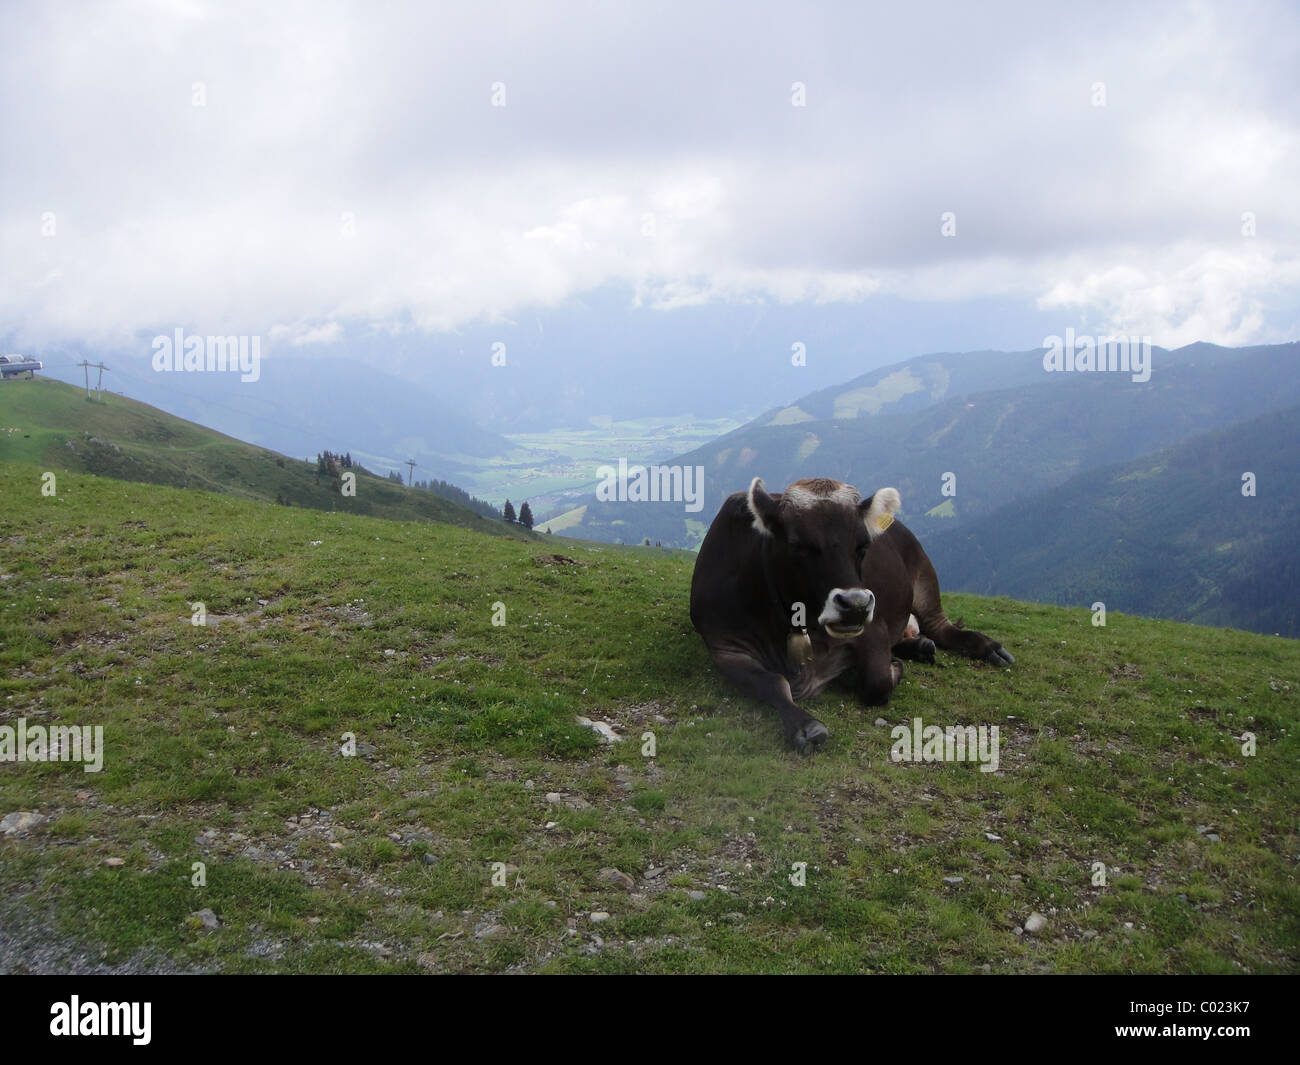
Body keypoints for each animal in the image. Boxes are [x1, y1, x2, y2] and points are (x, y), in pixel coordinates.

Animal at [689, 476, 1014, 752]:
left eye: (863, 545)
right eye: (796, 544)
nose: (855, 605)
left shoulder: (873, 626)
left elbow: (877, 683)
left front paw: (893, 669)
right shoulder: (726, 648)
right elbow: (772, 683)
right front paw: (806, 726)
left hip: (923, 572)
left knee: (941, 627)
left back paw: (987, 647)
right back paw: (919, 646)